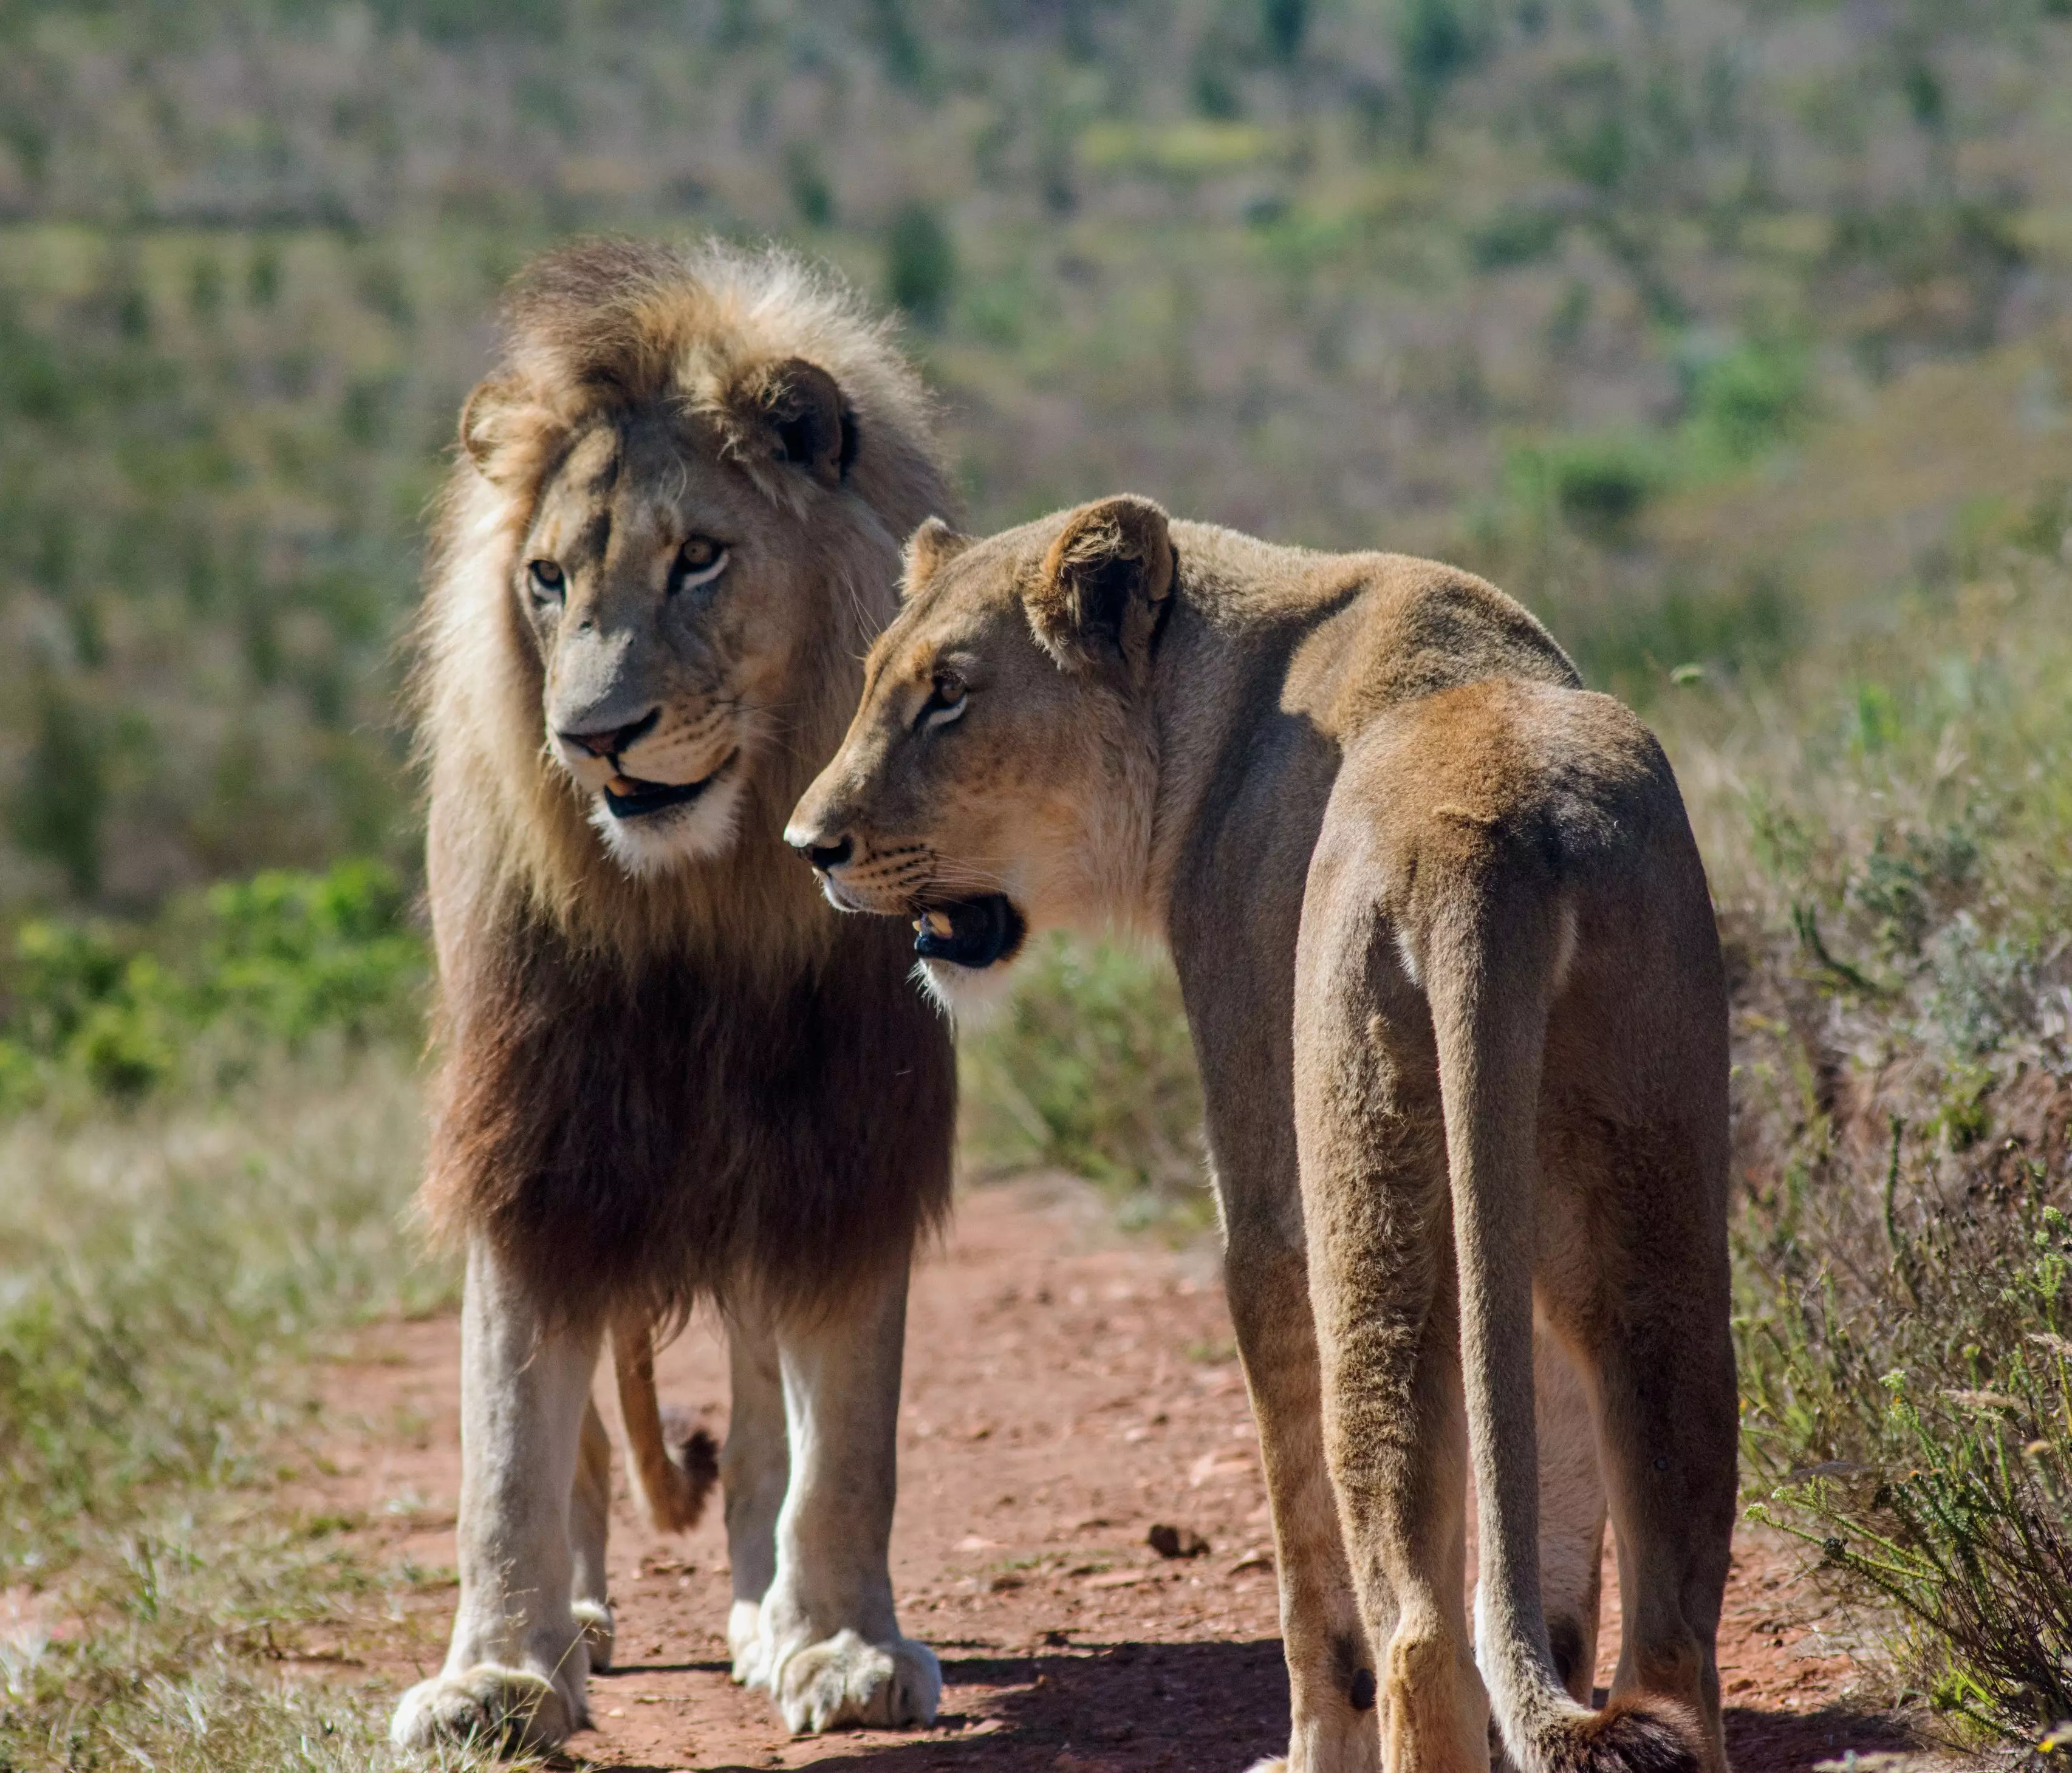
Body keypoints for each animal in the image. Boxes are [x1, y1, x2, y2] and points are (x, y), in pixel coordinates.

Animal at [391, 242, 957, 1748]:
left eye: (699, 557)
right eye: (544, 579)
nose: (595, 737)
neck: (704, 892)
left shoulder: (845, 1132)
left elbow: (844, 1440)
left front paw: (842, 1646)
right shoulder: (538, 1133)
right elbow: (508, 1437)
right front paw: (496, 1674)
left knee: (763, 1407)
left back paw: (763, 1608)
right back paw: (583, 1615)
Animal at [783, 495, 1740, 1773]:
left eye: (948, 693)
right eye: (876, 680)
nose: (807, 844)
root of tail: (1492, 830)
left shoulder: (1265, 1206)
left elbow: (1310, 1576)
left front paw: (1307, 1749)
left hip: (1366, 1198)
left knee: (1418, 1630)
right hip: (1653, 1216)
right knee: (1672, 1630)